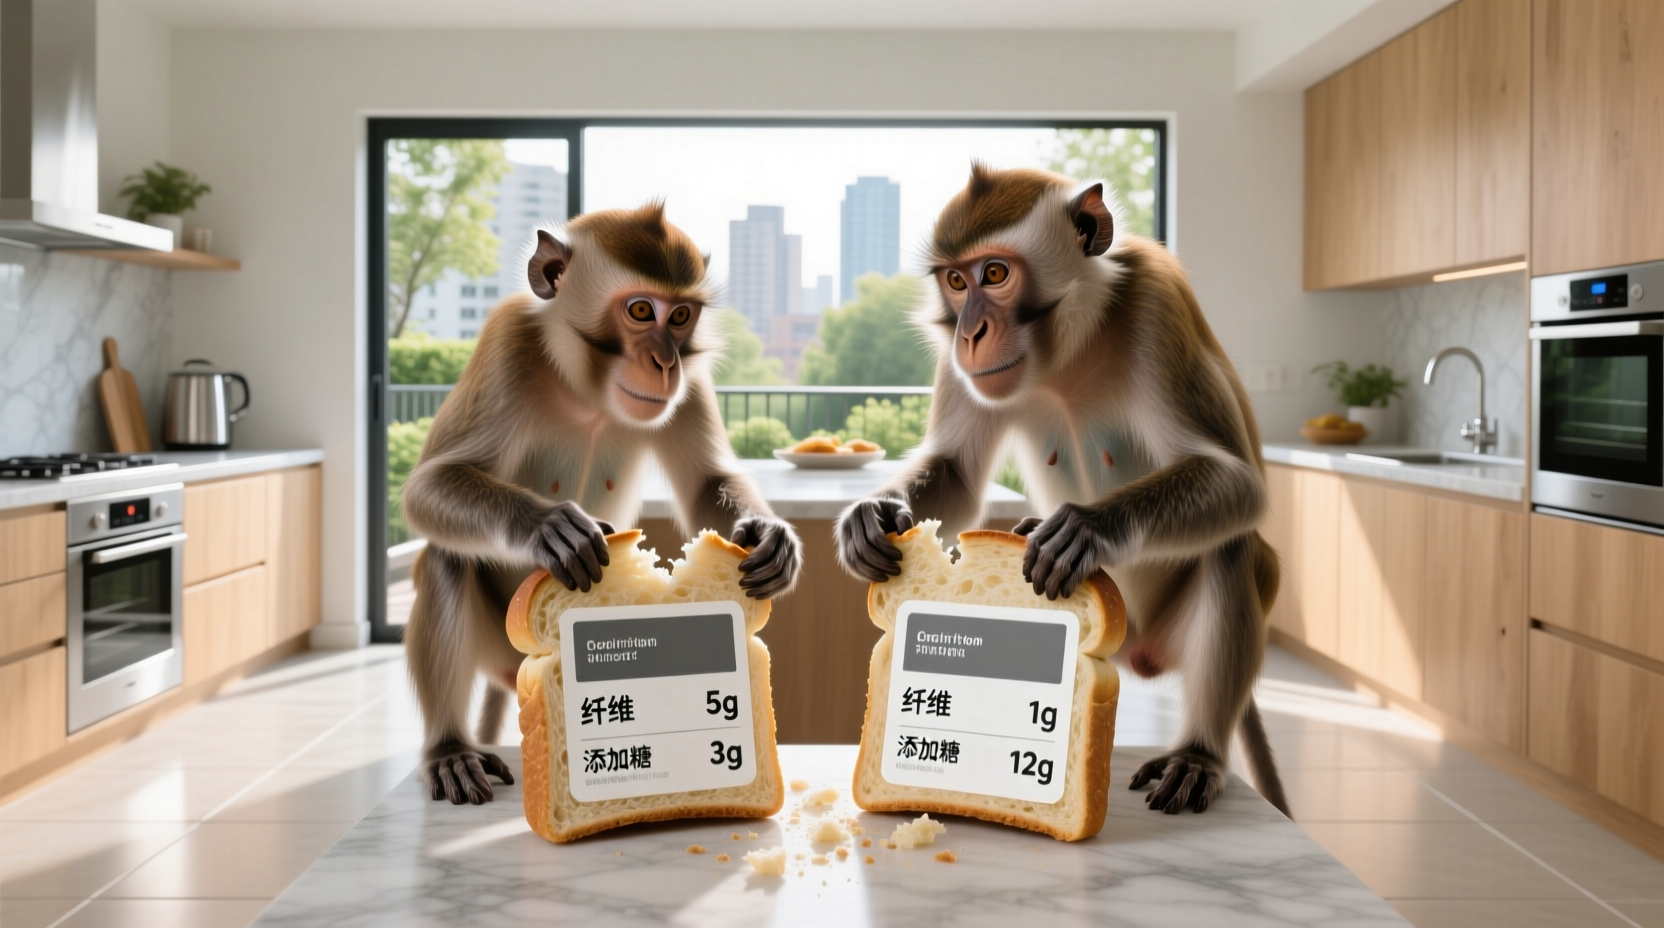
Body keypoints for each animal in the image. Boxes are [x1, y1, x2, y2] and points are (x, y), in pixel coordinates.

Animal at [401, 202, 803, 805]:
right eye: (640, 310)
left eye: (680, 316)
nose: (665, 363)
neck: (583, 391)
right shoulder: (508, 342)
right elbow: (428, 486)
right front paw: (550, 526)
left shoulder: (692, 378)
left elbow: (706, 480)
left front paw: (768, 536)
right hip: (498, 646)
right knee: (447, 556)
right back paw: (450, 748)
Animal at [836, 164, 1289, 817]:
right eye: (955, 280)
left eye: (995, 274)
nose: (970, 333)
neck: (1072, 347)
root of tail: (1138, 652)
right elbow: (956, 469)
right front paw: (873, 517)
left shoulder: (1155, 307)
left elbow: (1239, 483)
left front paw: (1087, 528)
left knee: (1232, 547)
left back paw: (1198, 751)